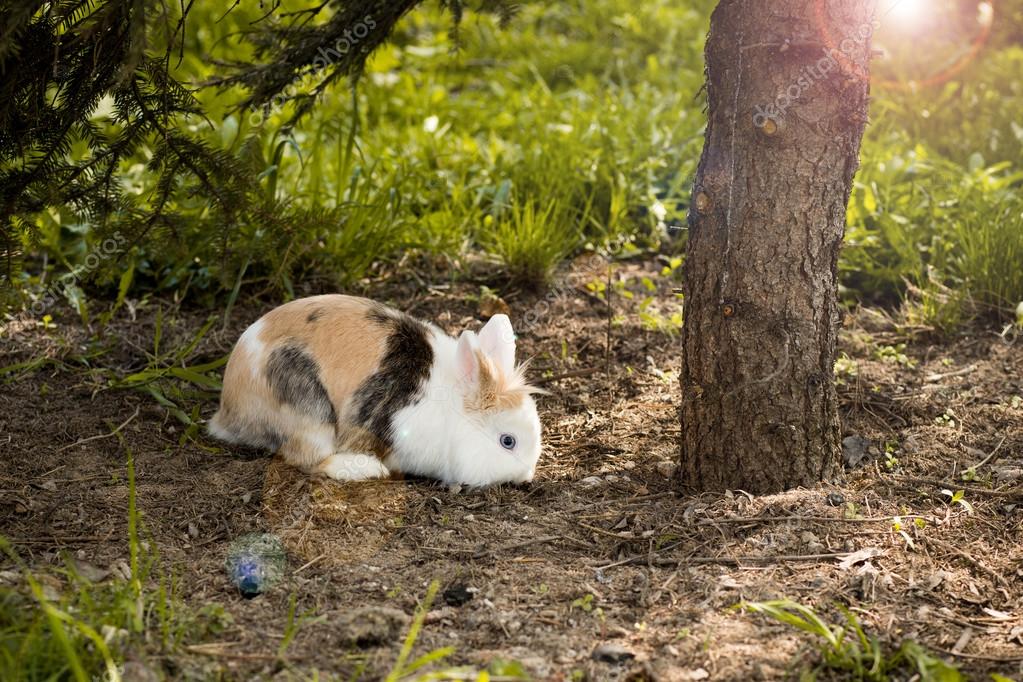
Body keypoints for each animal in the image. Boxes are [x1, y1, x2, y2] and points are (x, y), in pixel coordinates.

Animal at [208, 295, 543, 486]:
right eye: (508, 441)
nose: (526, 477)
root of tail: (227, 410)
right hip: (308, 411)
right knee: (308, 458)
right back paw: (366, 470)